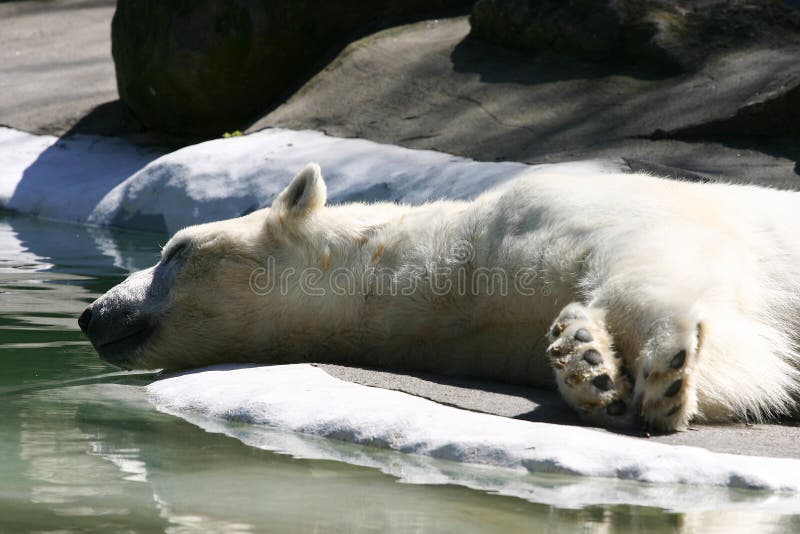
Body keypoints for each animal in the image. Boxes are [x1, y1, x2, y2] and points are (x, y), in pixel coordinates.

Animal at [79, 163, 800, 432]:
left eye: (177, 250)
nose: (91, 313)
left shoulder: (563, 203)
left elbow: (652, 262)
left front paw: (660, 373)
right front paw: (589, 365)